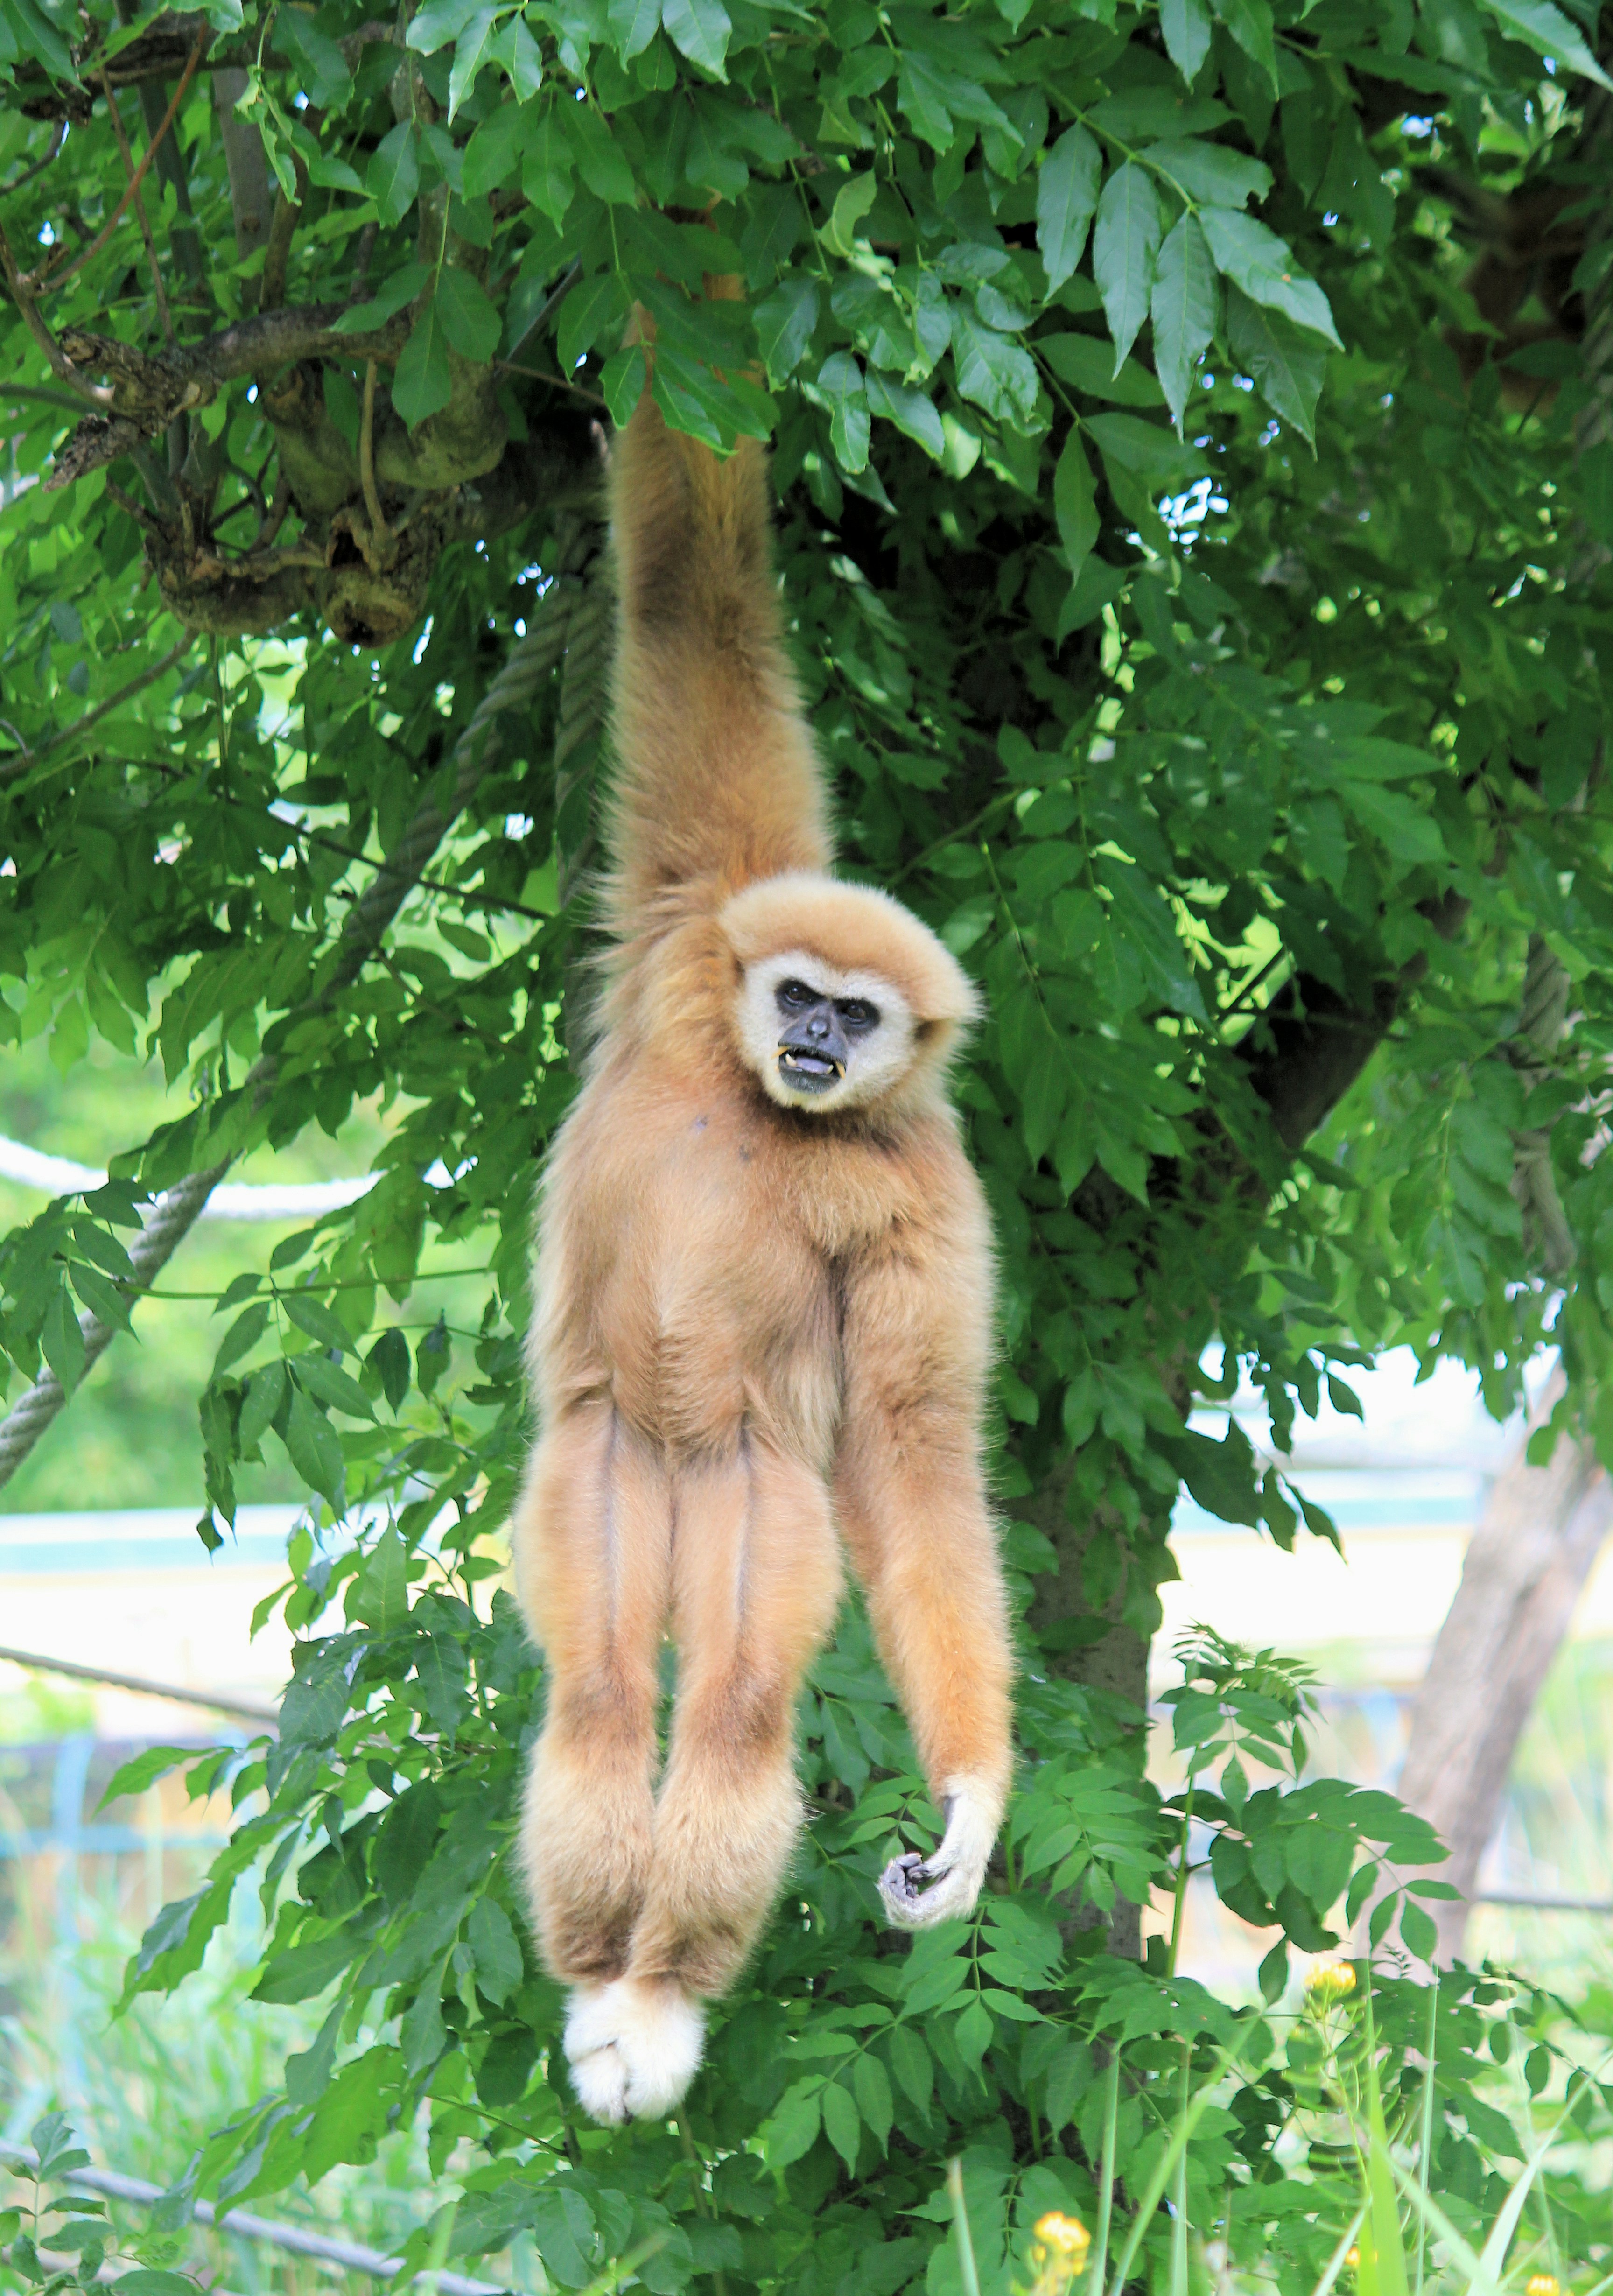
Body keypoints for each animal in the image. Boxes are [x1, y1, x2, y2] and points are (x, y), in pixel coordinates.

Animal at [510, 342, 1013, 2127]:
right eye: (797, 990)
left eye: (854, 1018)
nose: (807, 1039)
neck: (762, 1101)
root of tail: (672, 1465)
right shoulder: (697, 917)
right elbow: (692, 602)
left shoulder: (932, 1186)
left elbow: (910, 1438)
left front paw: (973, 1797)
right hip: (596, 1469)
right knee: (601, 1693)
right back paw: (607, 1968)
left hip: (749, 1493)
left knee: (728, 1703)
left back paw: (654, 1994)